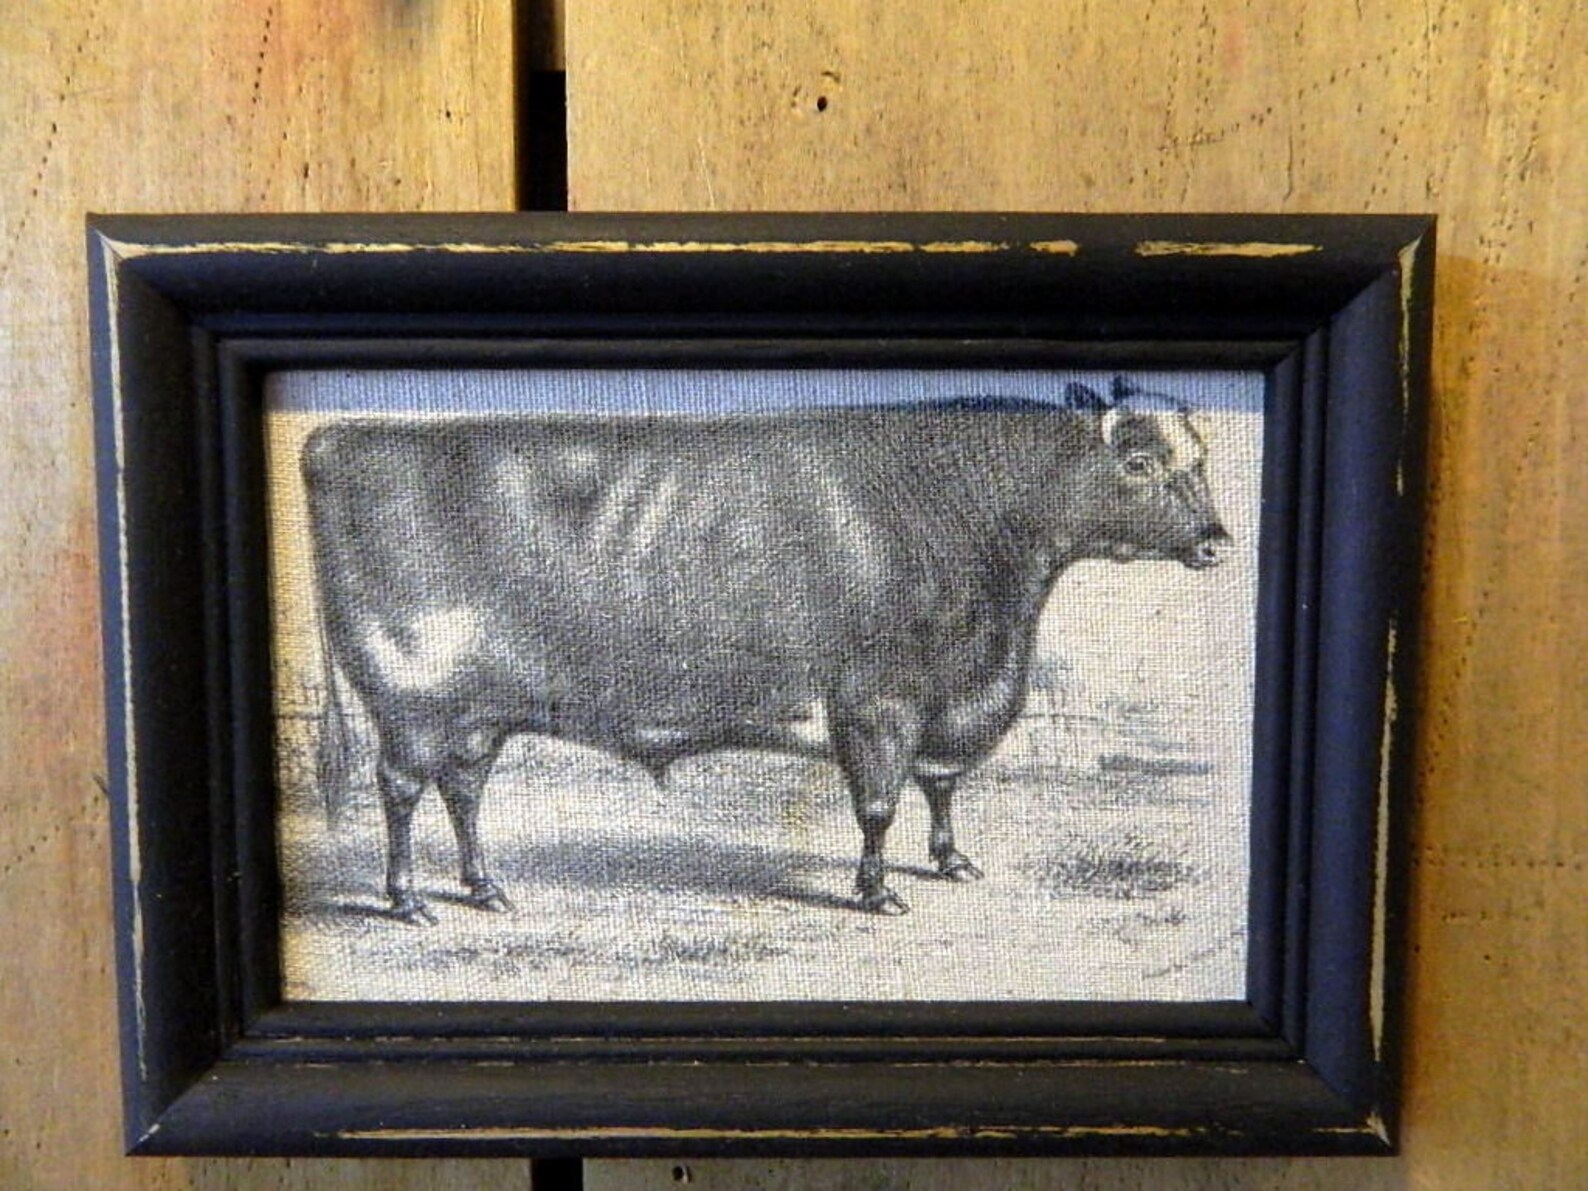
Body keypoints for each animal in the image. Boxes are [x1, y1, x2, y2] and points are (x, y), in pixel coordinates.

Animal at [303, 375, 1230, 924]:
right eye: (1139, 461)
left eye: (1201, 457)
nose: (1218, 541)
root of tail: (337, 437)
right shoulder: (878, 703)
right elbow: (879, 803)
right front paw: (878, 890)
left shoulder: (955, 698)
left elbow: (941, 785)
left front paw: (951, 860)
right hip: (413, 702)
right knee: (401, 791)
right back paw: (405, 899)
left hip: (477, 714)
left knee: (462, 790)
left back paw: (484, 886)